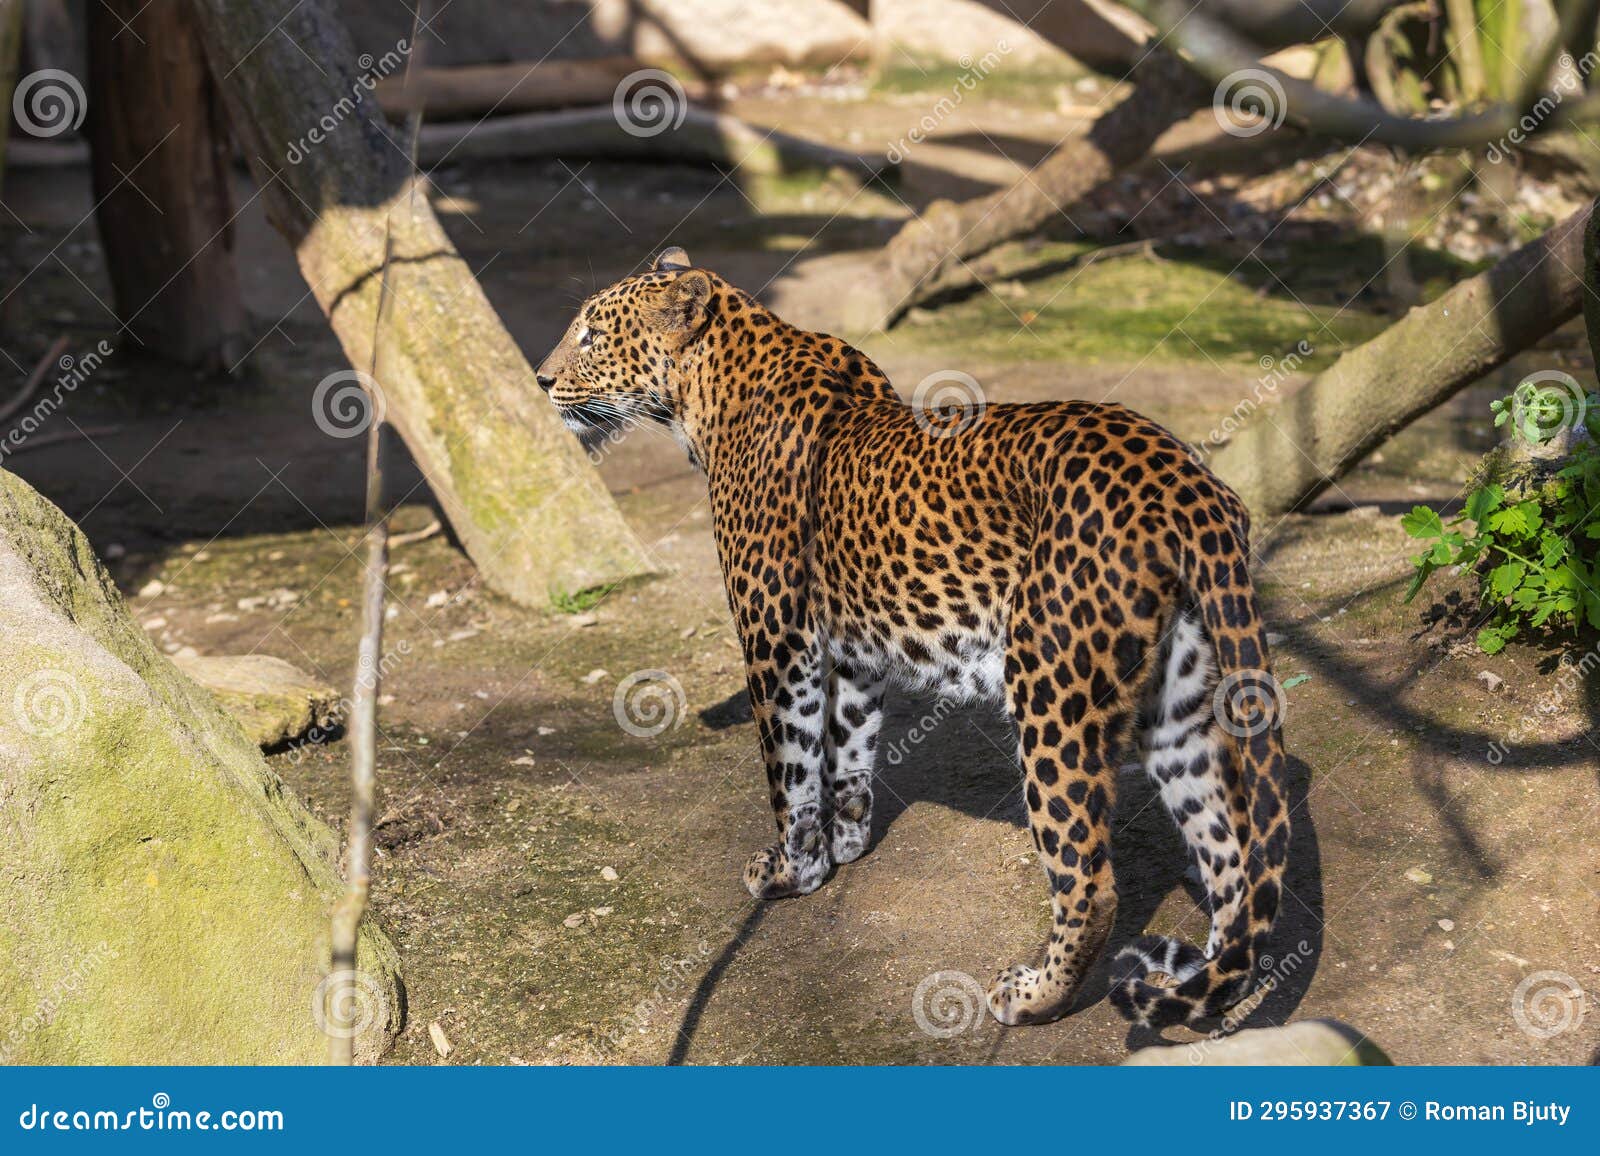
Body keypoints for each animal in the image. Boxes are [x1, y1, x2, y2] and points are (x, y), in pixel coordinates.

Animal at [536, 247, 1291, 1028]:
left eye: (593, 334)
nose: (541, 379)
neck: (704, 395)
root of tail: (1183, 481)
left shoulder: (778, 641)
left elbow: (790, 768)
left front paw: (791, 871)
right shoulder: (853, 653)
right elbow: (848, 753)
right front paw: (842, 848)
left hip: (1052, 696)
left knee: (1089, 876)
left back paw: (1033, 995)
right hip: (1179, 705)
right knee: (1229, 849)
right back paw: (1209, 981)